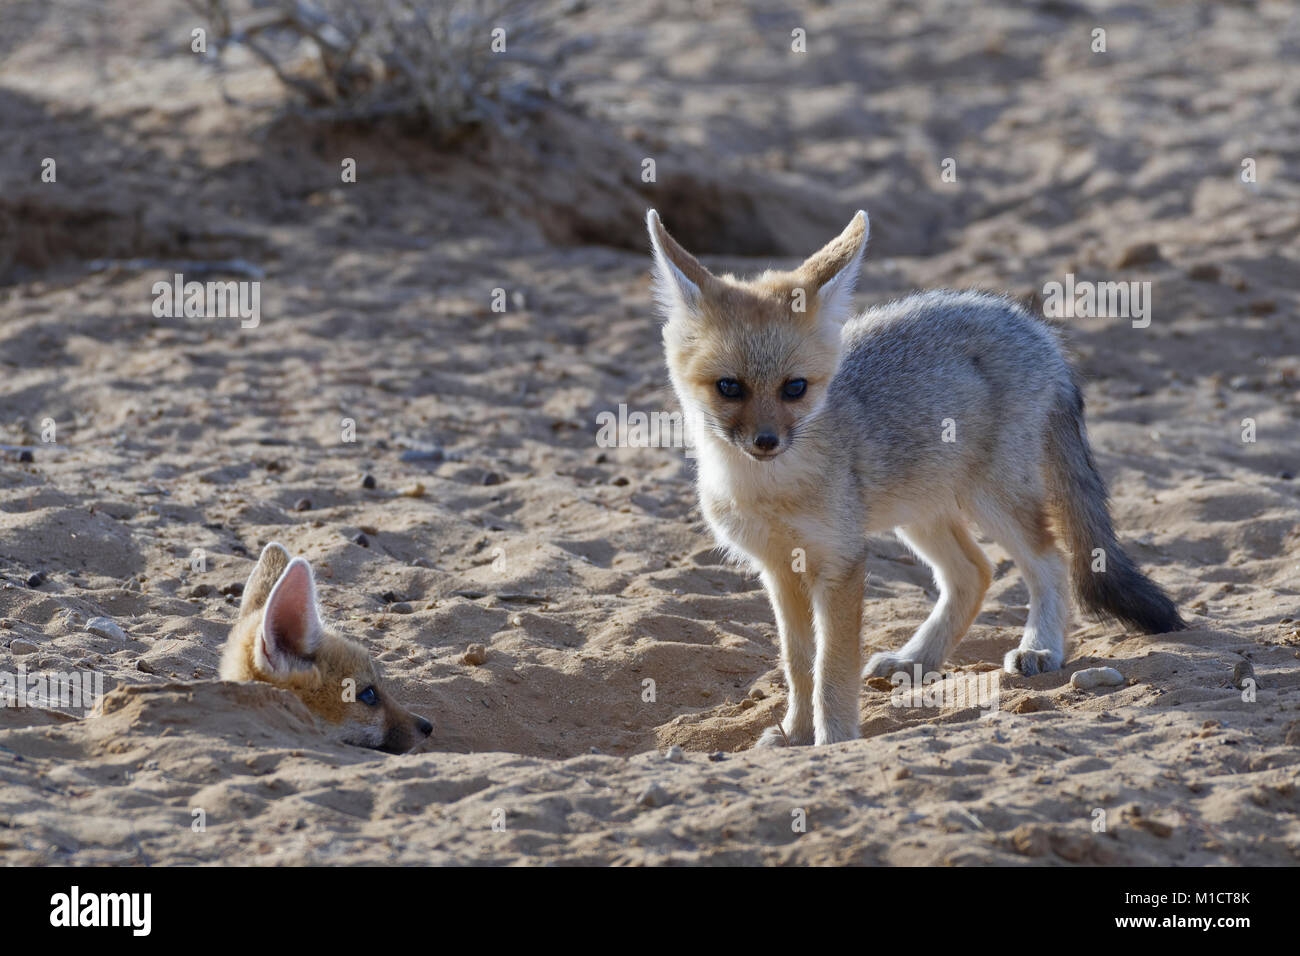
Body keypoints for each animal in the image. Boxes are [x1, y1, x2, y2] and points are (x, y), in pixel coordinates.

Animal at [646, 207, 1185, 747]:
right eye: (729, 387)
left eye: (794, 388)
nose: (766, 442)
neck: (767, 490)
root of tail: (1035, 329)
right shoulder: (779, 570)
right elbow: (798, 664)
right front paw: (795, 733)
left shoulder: (841, 562)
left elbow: (831, 666)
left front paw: (834, 738)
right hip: (920, 511)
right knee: (974, 572)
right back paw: (917, 660)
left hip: (991, 500)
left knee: (1049, 560)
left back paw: (1040, 646)